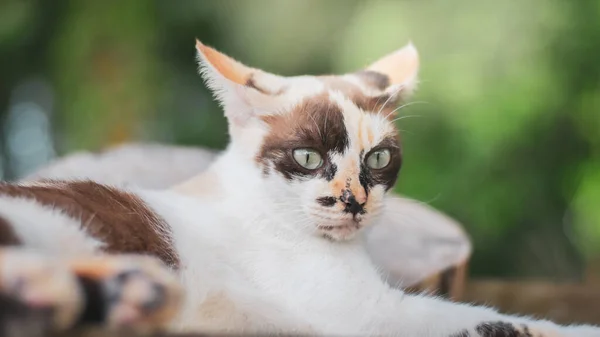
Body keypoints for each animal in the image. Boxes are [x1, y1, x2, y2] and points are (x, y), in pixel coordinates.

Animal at [0, 38, 596, 336]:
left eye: (378, 159)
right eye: (308, 158)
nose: (354, 201)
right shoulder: (365, 314)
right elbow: (501, 322)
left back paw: (124, 294)